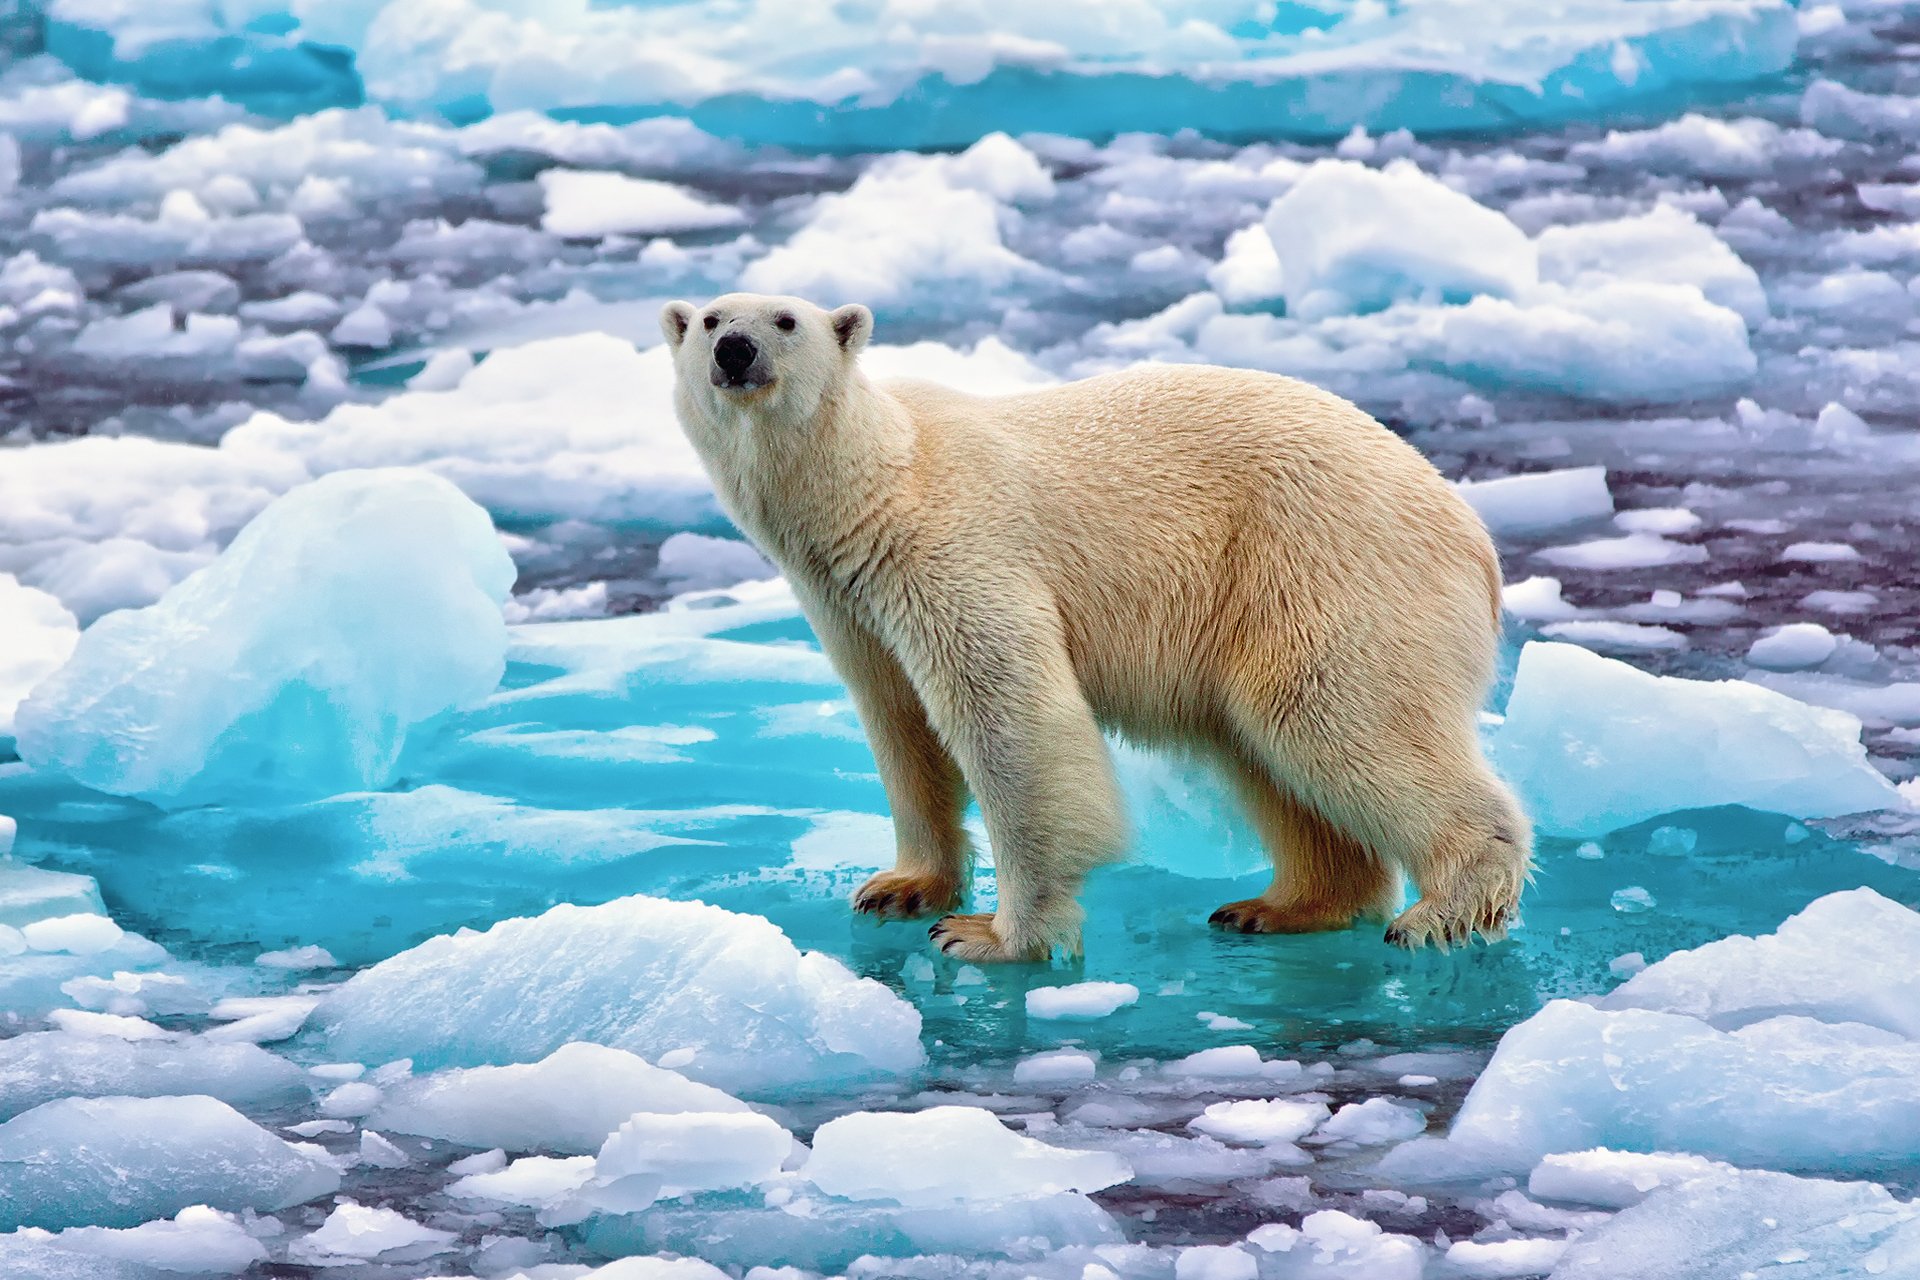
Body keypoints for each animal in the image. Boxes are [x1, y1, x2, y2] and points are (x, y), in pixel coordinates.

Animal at [661, 291, 1531, 963]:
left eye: (785, 319)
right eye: (709, 318)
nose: (735, 350)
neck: (876, 482)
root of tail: (1472, 534)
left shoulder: (953, 548)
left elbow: (1013, 719)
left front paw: (991, 935)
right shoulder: (850, 603)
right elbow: (900, 725)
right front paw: (898, 886)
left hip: (1325, 566)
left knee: (1332, 716)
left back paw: (1440, 911)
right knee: (1268, 752)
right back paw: (1278, 906)